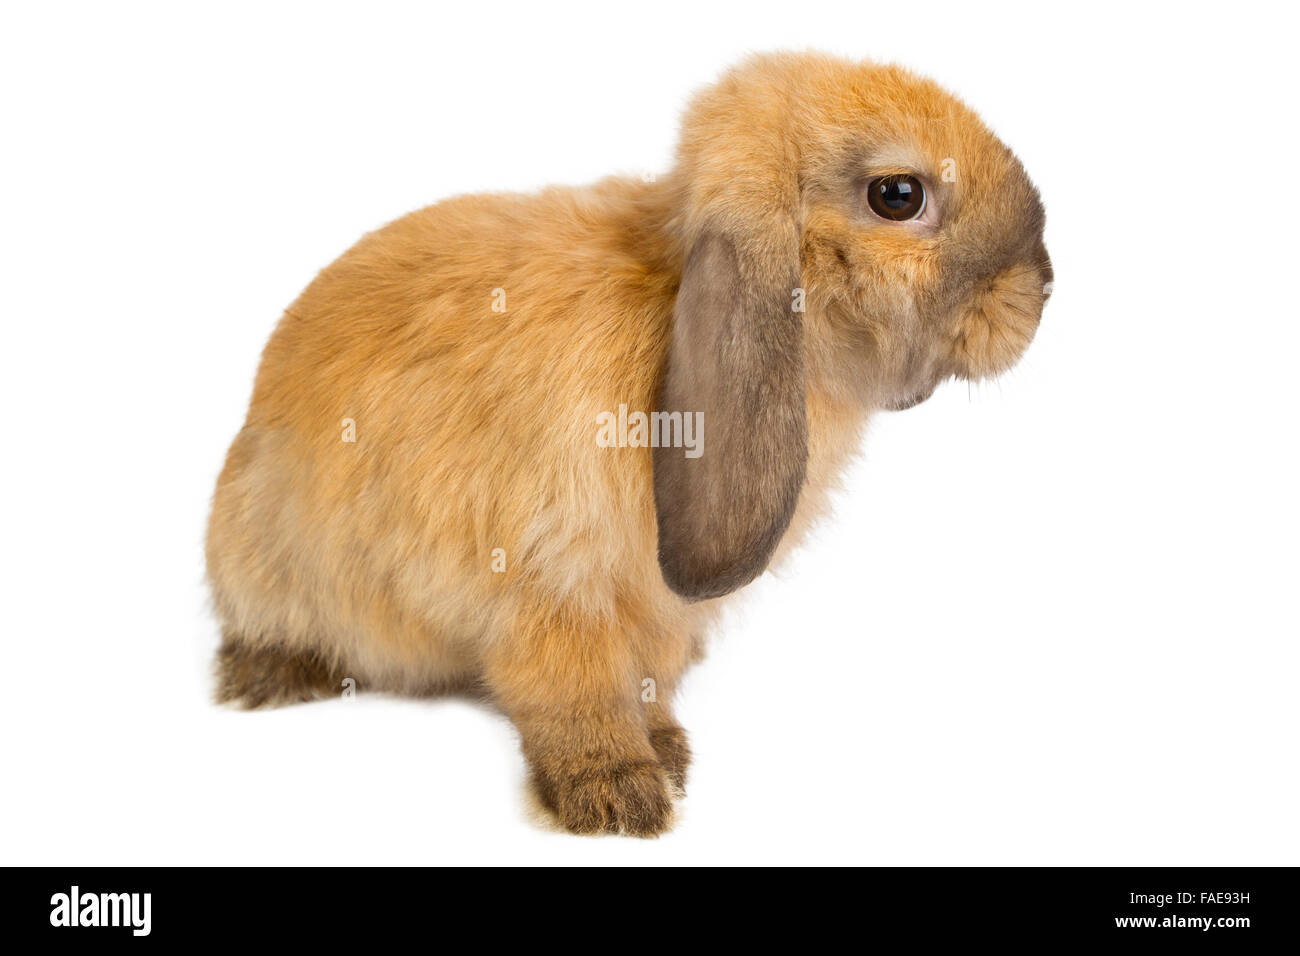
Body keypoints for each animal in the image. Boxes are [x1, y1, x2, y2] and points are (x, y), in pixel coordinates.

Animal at [206, 51, 1051, 836]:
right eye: (898, 196)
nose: (1041, 286)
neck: (666, 299)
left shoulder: (656, 612)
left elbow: (647, 681)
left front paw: (669, 751)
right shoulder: (553, 583)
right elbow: (575, 695)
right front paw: (620, 797)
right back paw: (269, 677)